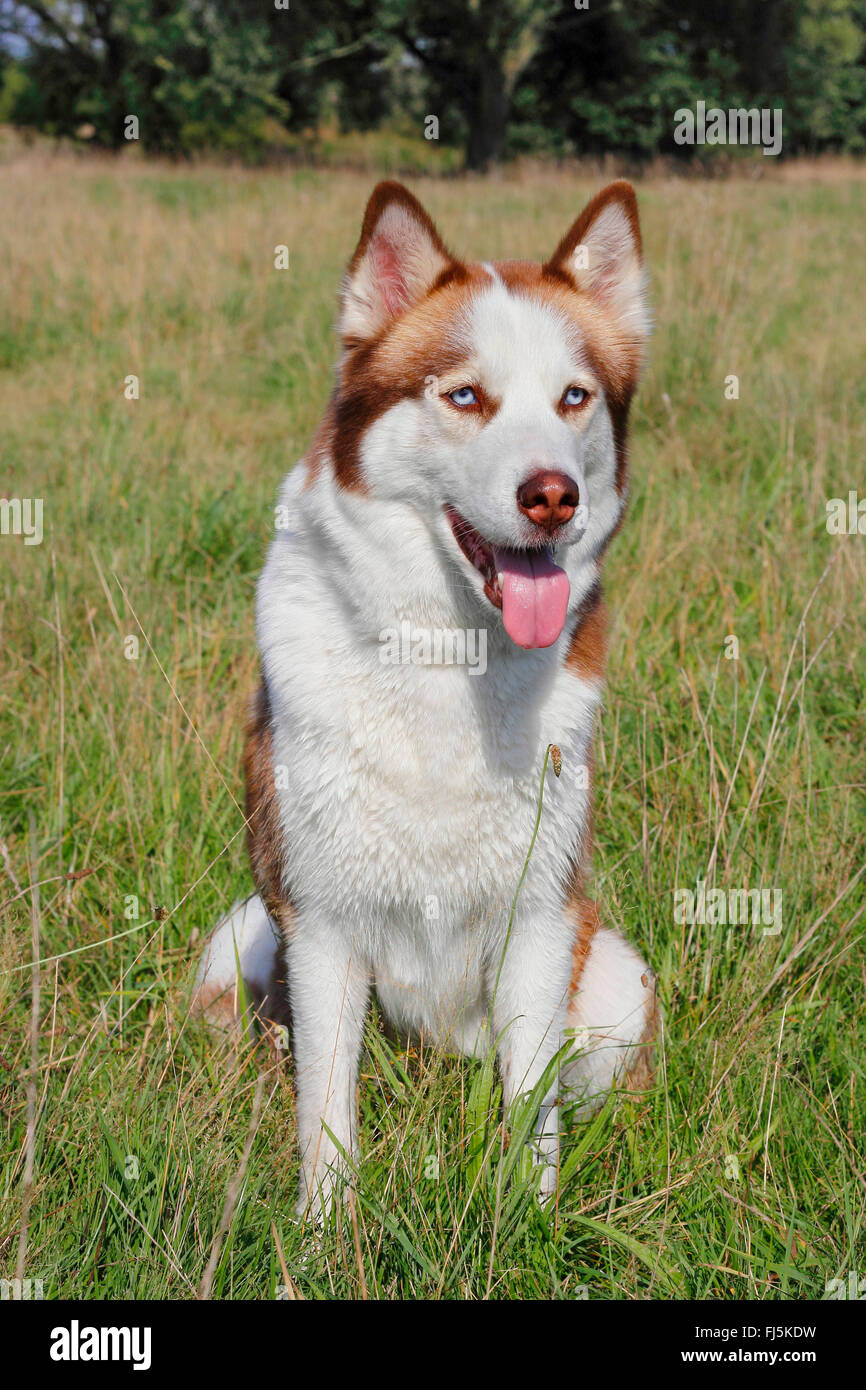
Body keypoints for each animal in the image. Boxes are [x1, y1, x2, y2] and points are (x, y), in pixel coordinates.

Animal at [193, 176, 656, 1217]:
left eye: (574, 397)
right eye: (465, 396)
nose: (552, 496)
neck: (446, 653)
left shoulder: (541, 916)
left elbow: (531, 1102)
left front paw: (528, 1224)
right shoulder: (319, 921)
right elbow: (327, 1106)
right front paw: (324, 1232)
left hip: (616, 977)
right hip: (248, 946)